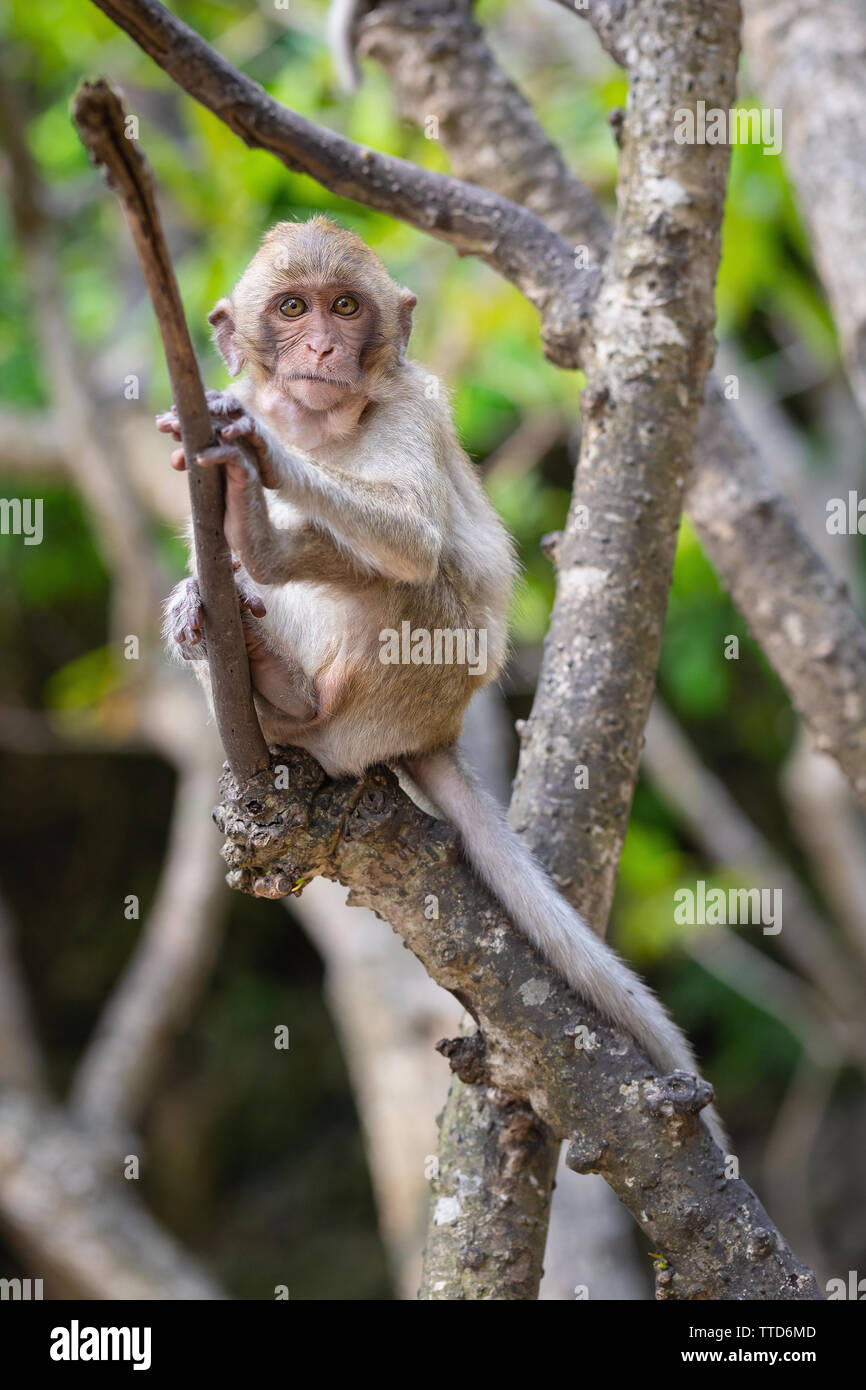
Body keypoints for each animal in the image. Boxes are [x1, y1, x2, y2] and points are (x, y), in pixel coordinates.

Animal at [158, 217, 725, 1146]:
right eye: (293, 308)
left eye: (346, 307)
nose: (323, 347)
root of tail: (437, 734)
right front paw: (193, 594)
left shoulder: (410, 408)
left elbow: (416, 539)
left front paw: (260, 462)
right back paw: (245, 650)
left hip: (411, 686)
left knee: (410, 577)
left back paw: (273, 597)